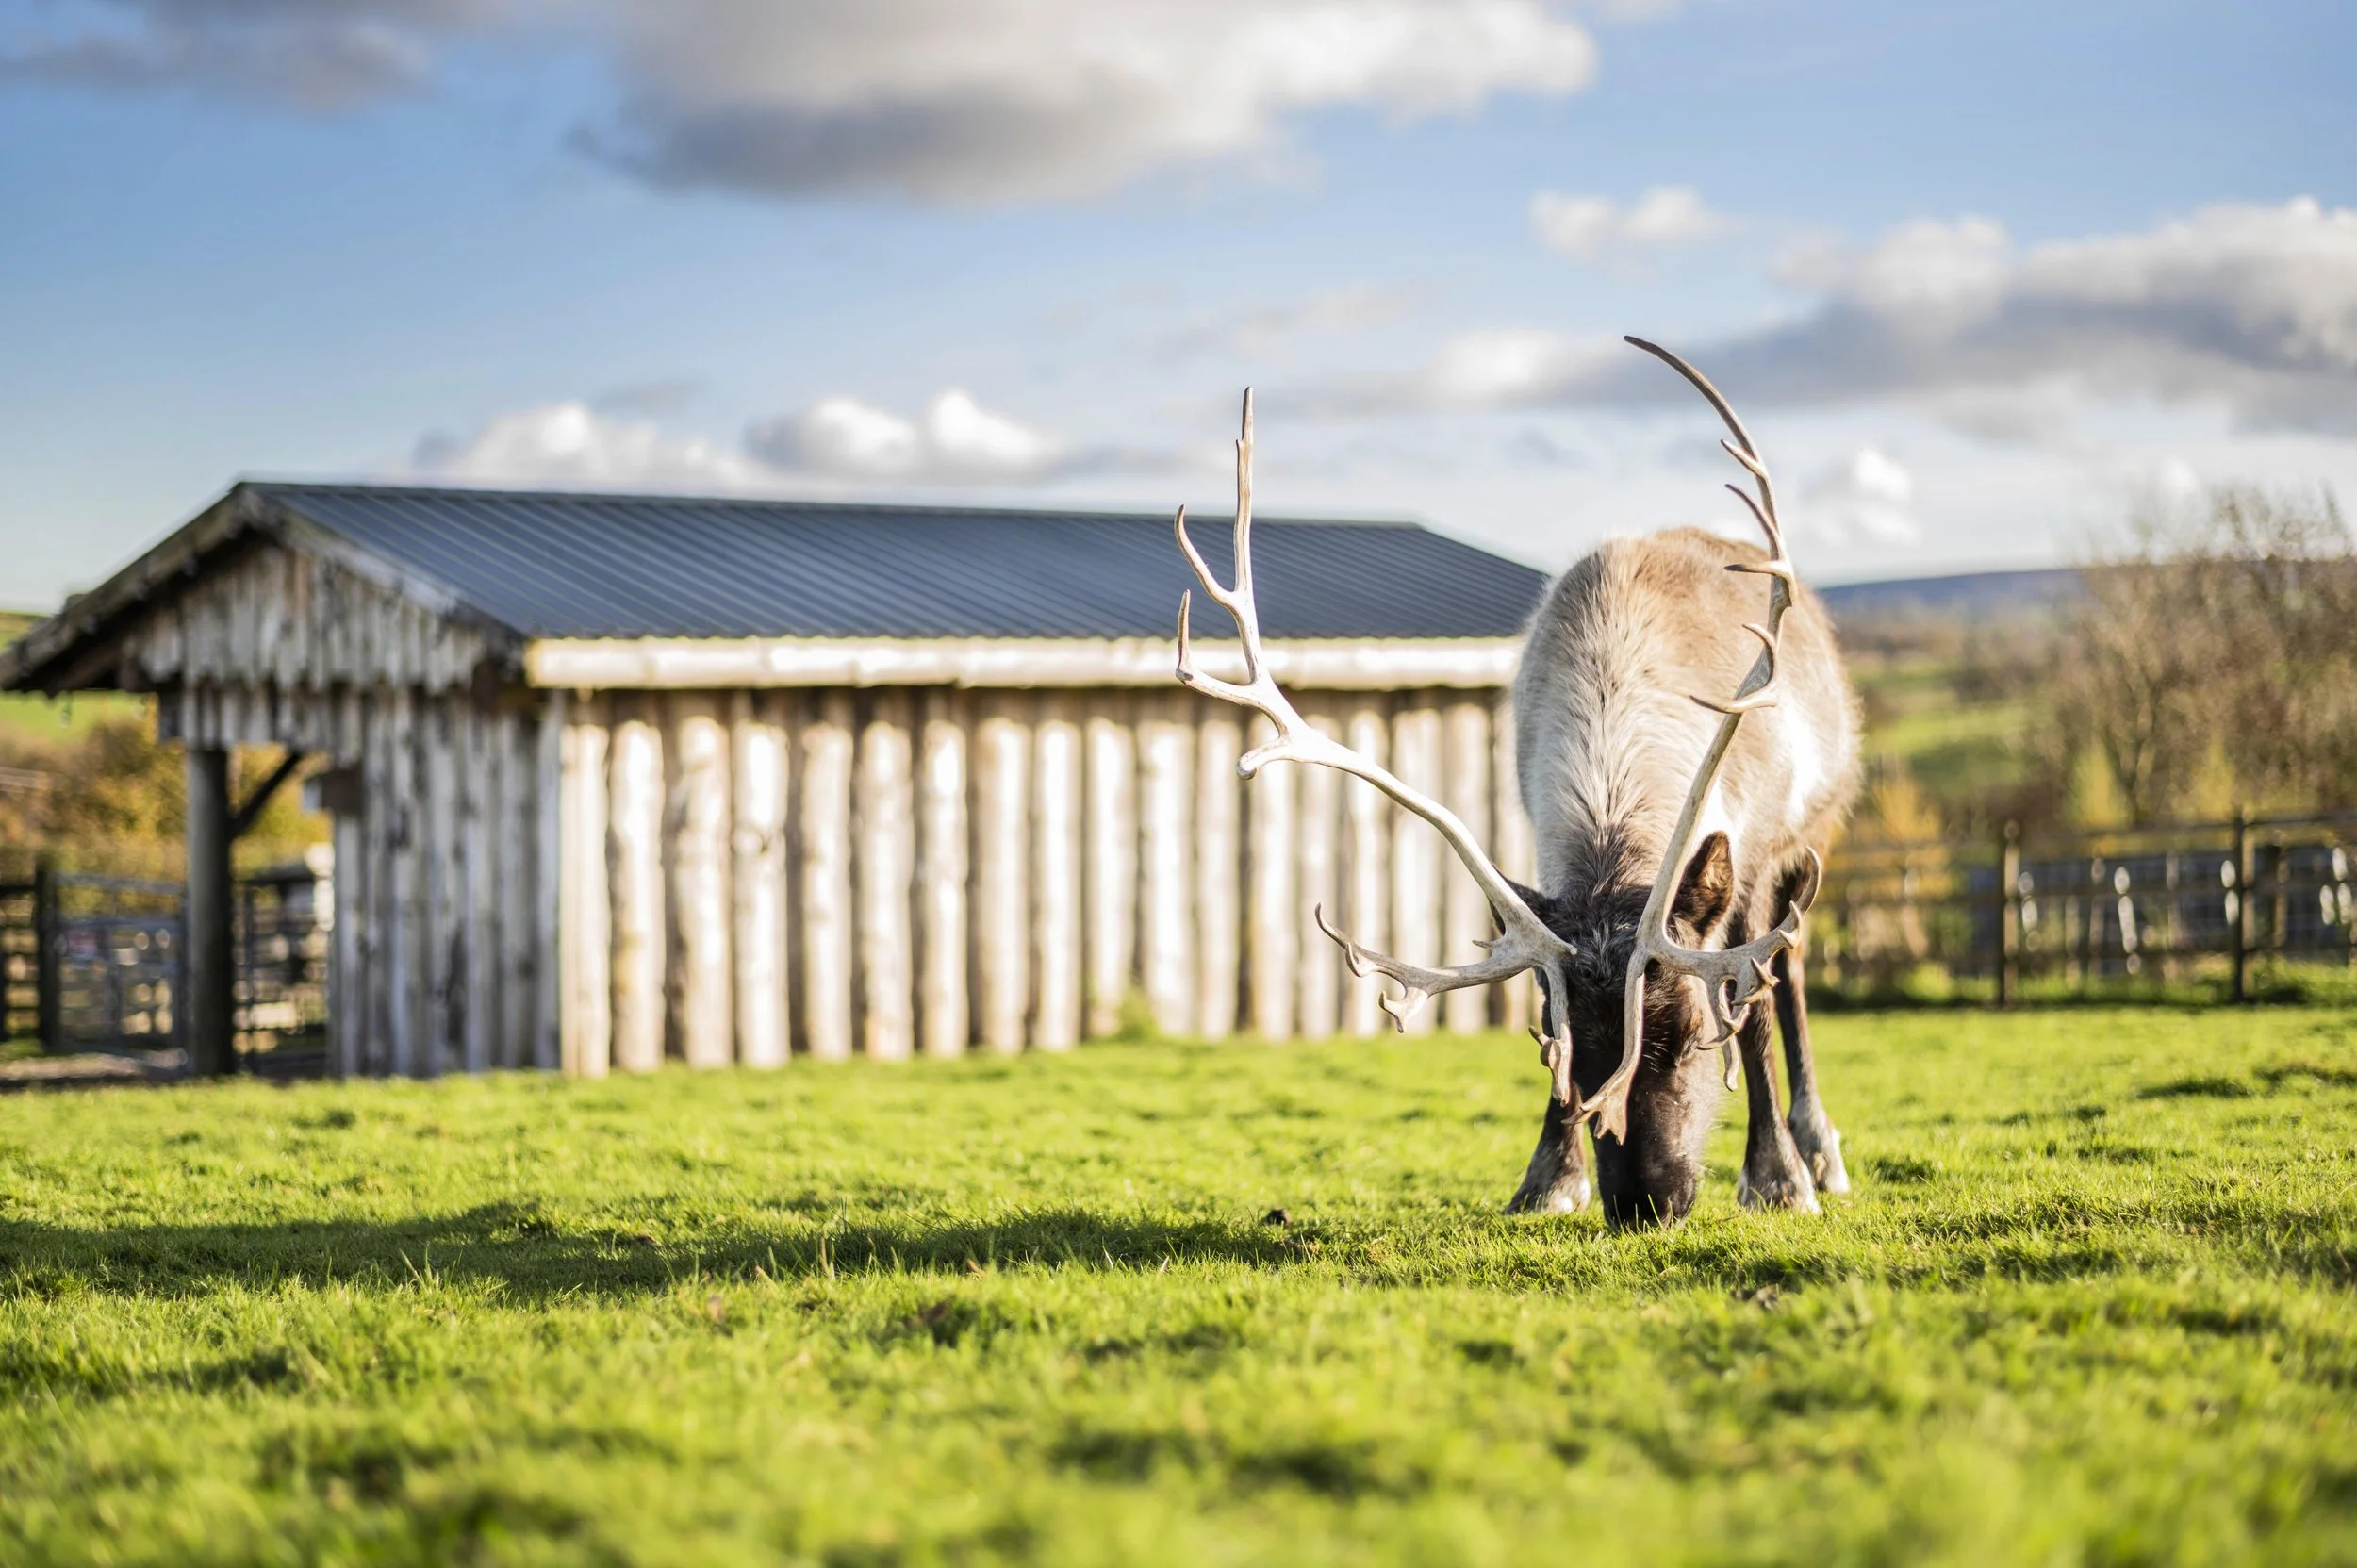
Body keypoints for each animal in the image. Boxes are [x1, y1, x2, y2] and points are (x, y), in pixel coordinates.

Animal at [1172, 338, 1862, 1225]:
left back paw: (1819, 1149)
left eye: (1682, 1030)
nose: (1646, 1201)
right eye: (1558, 1044)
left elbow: (1756, 1005)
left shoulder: (1750, 854)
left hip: (1811, 836)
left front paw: (1778, 1179)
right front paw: (1547, 1180)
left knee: (1792, 968)